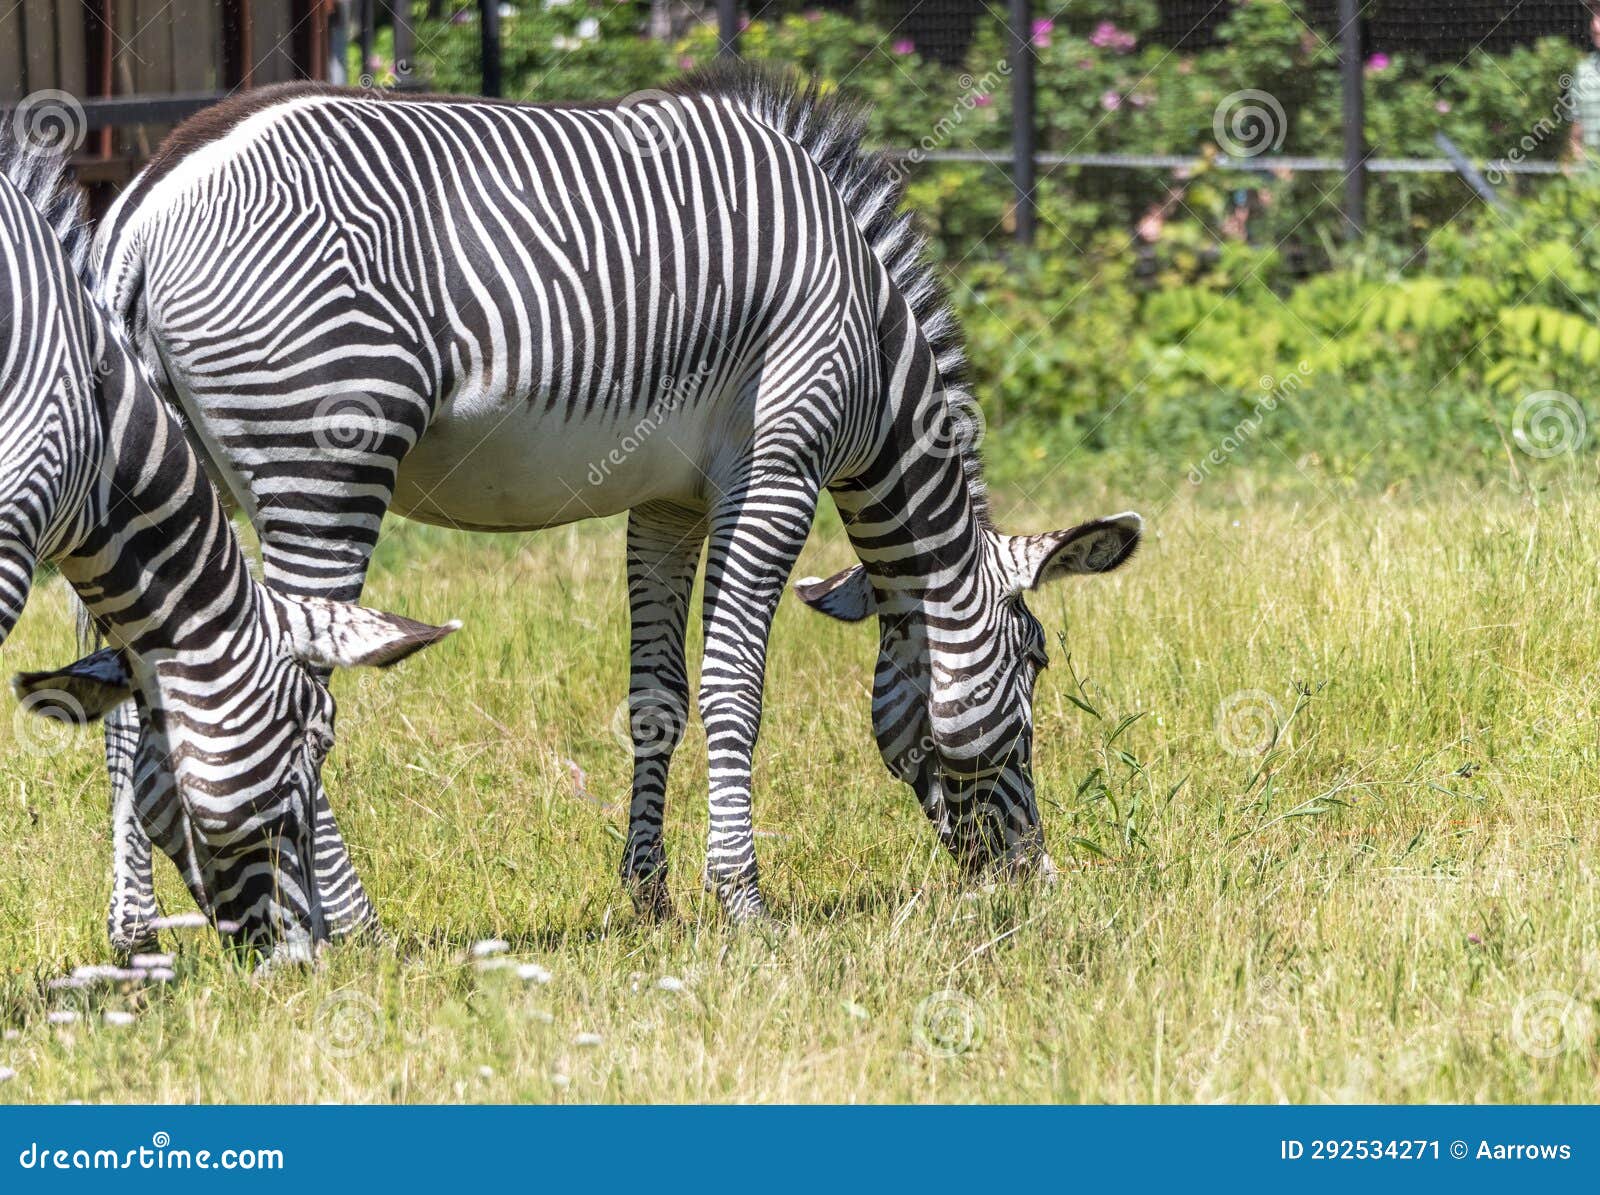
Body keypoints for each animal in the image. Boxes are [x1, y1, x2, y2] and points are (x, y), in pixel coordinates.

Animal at [83, 64, 1143, 930]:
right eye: (1037, 663)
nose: (1031, 880)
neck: (874, 347)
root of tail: (141, 208)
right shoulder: (779, 467)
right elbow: (736, 685)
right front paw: (743, 899)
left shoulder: (667, 500)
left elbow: (658, 697)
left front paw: (650, 895)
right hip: (324, 461)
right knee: (293, 696)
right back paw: (351, 927)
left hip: (152, 483)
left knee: (138, 705)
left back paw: (142, 939)